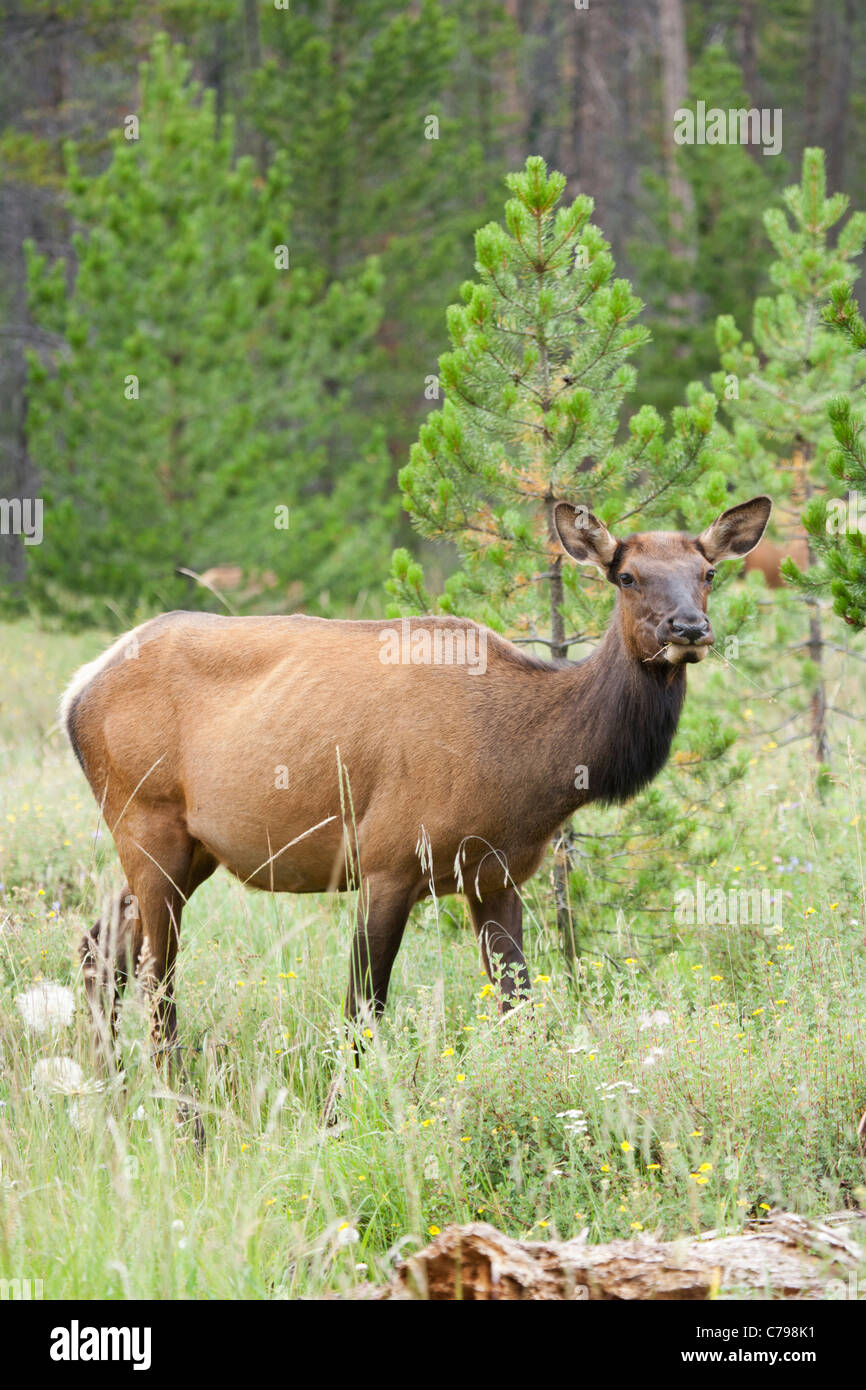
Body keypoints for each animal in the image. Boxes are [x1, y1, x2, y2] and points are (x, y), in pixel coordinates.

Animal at [62, 495, 770, 1107]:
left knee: (101, 948)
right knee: (156, 979)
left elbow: (518, 1006)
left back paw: (106, 1094)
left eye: (707, 573)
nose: (689, 627)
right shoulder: (388, 859)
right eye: (626, 575)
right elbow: (361, 1011)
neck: (528, 765)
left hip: (190, 847)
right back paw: (183, 1120)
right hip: (146, 820)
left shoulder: (496, 875)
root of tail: (78, 690)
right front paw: (336, 1123)